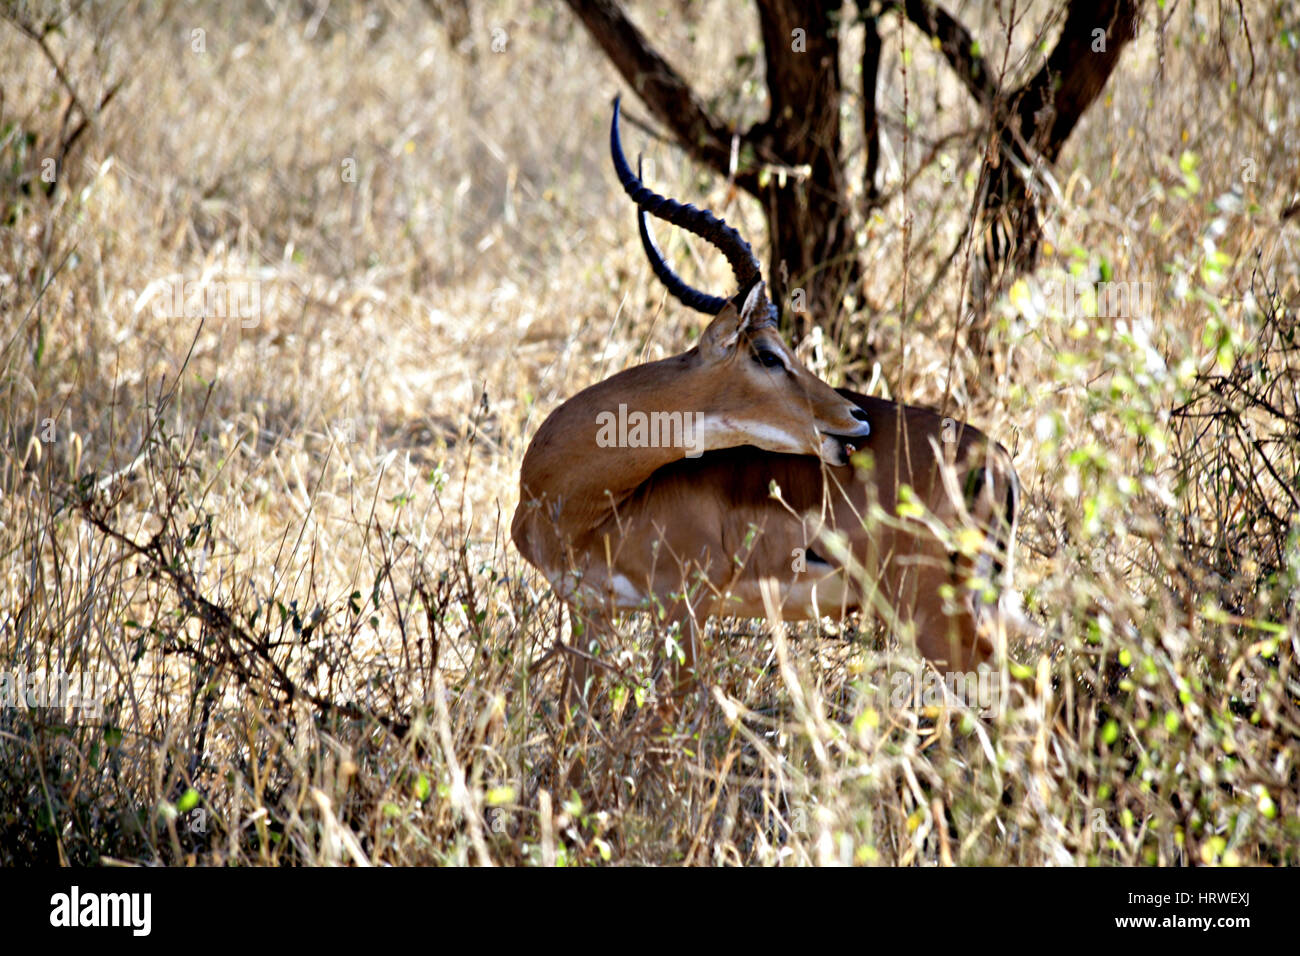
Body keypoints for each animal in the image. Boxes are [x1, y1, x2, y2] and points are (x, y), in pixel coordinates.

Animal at [512, 98, 1023, 712]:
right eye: (768, 354)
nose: (855, 420)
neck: (580, 500)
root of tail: (997, 460)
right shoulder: (588, 612)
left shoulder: (683, 609)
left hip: (931, 613)